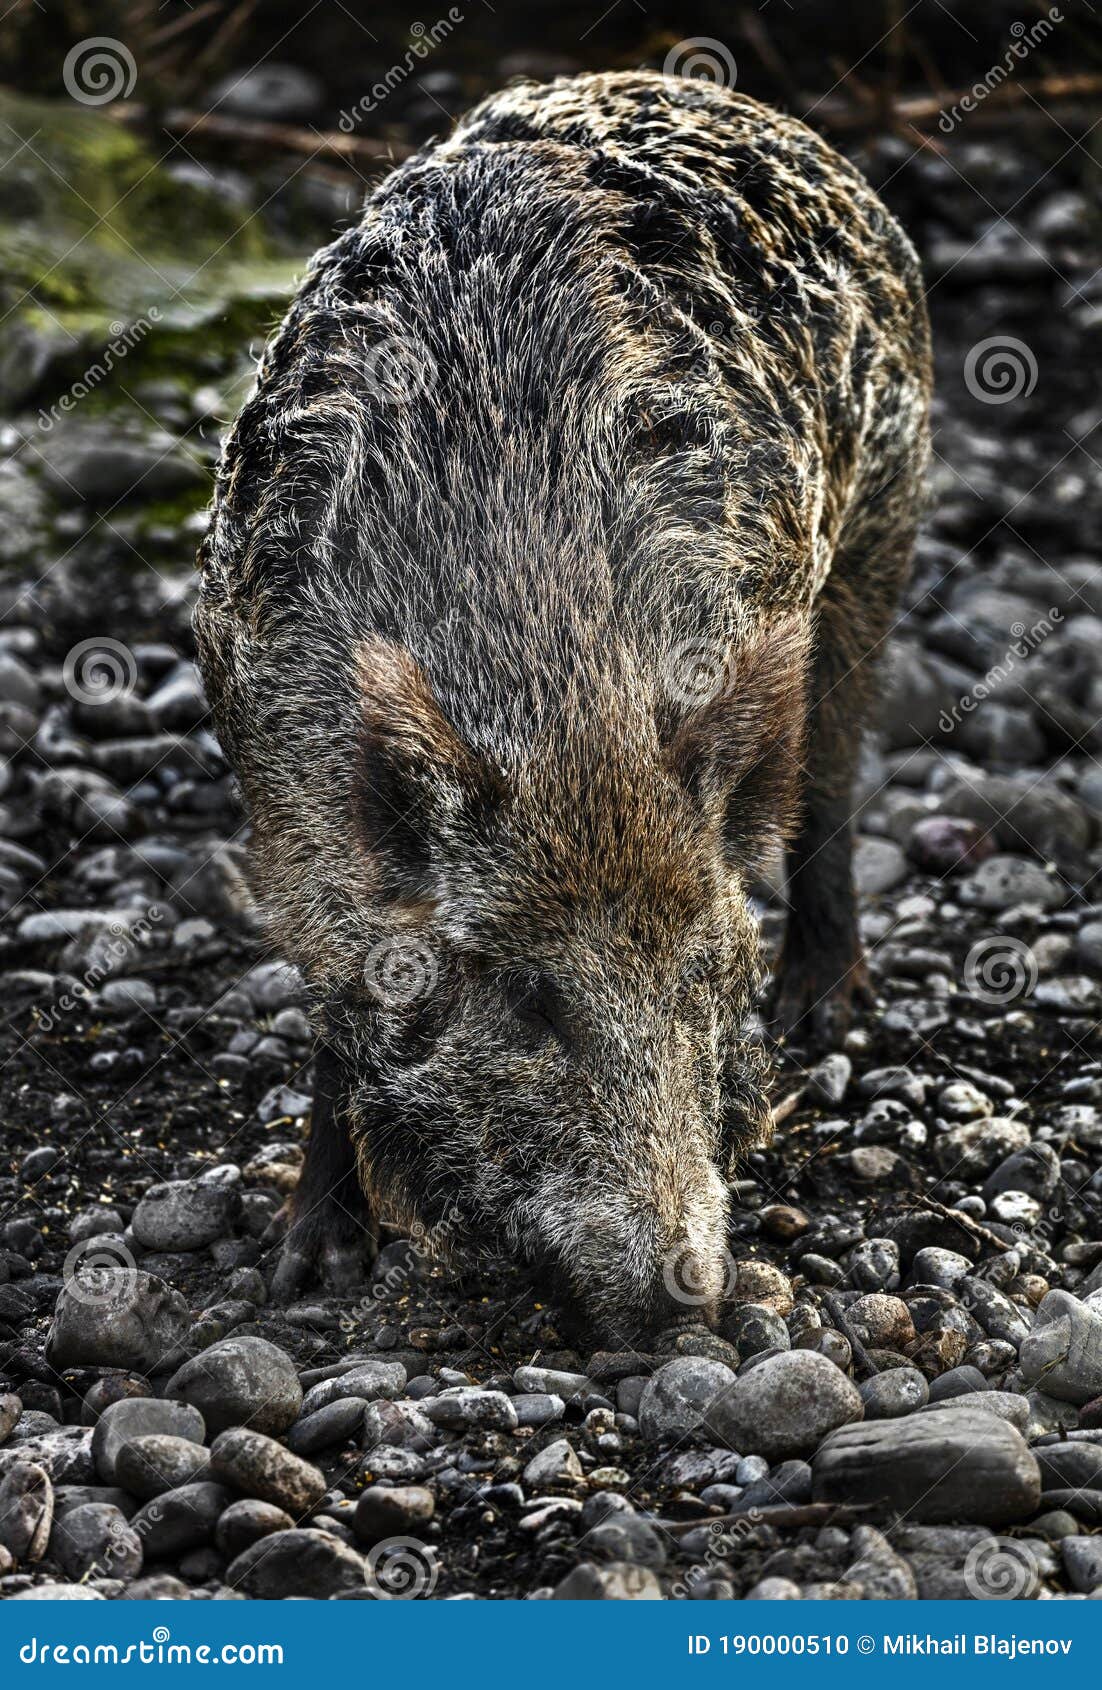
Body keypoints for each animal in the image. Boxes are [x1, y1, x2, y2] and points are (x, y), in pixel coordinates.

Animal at [194, 71, 931, 1344]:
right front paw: (310, 1267)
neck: (559, 707)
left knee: (829, 772)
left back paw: (823, 1013)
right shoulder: (272, 773)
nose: (691, 1294)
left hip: (881, 522)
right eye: (526, 998)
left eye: (701, 978)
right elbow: (338, 998)